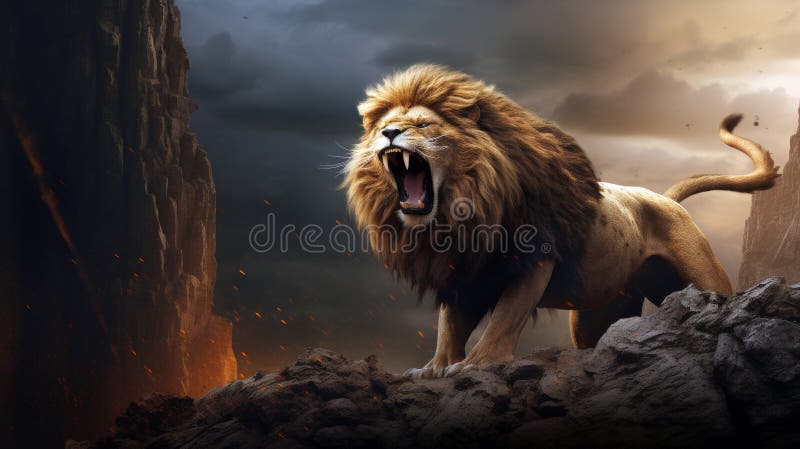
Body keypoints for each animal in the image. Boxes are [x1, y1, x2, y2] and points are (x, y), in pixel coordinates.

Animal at [342, 64, 779, 378]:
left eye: (423, 124)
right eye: (382, 126)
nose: (389, 132)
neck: (464, 209)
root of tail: (662, 198)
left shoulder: (533, 259)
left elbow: (505, 317)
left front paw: (476, 364)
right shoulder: (460, 273)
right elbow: (449, 325)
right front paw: (434, 369)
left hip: (702, 276)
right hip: (594, 315)